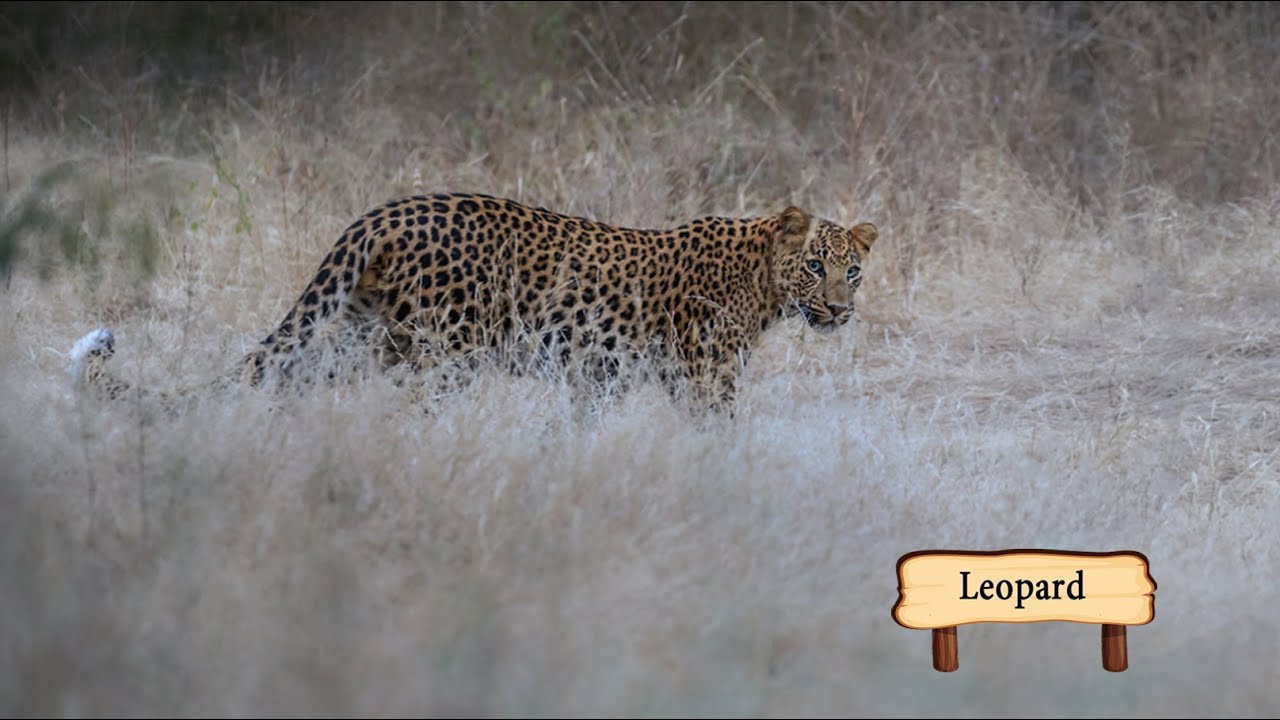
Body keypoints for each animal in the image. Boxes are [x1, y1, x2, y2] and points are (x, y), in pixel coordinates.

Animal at [66, 192, 878, 414]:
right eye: (815, 267)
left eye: (854, 272)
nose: (841, 311)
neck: (764, 283)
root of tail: (381, 214)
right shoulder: (706, 377)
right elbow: (724, 437)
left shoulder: (598, 377)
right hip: (444, 351)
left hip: (363, 336)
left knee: (291, 376)